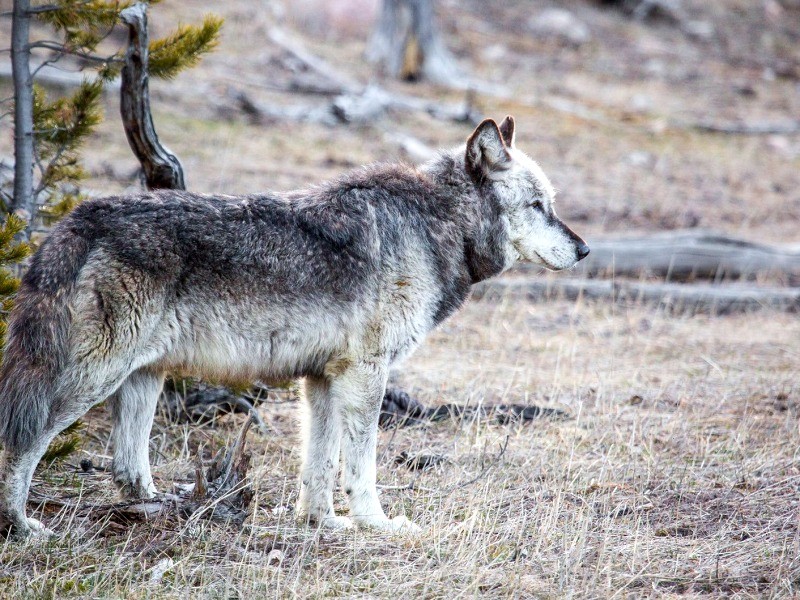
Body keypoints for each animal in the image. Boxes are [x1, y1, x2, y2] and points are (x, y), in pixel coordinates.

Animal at [0, 116, 588, 537]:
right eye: (538, 205)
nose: (584, 250)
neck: (434, 224)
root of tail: (79, 217)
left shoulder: (323, 379)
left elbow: (318, 465)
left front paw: (322, 522)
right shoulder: (366, 374)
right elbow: (361, 466)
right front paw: (376, 524)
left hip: (143, 379)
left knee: (126, 468)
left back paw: (165, 510)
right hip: (93, 379)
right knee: (25, 441)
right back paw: (23, 525)